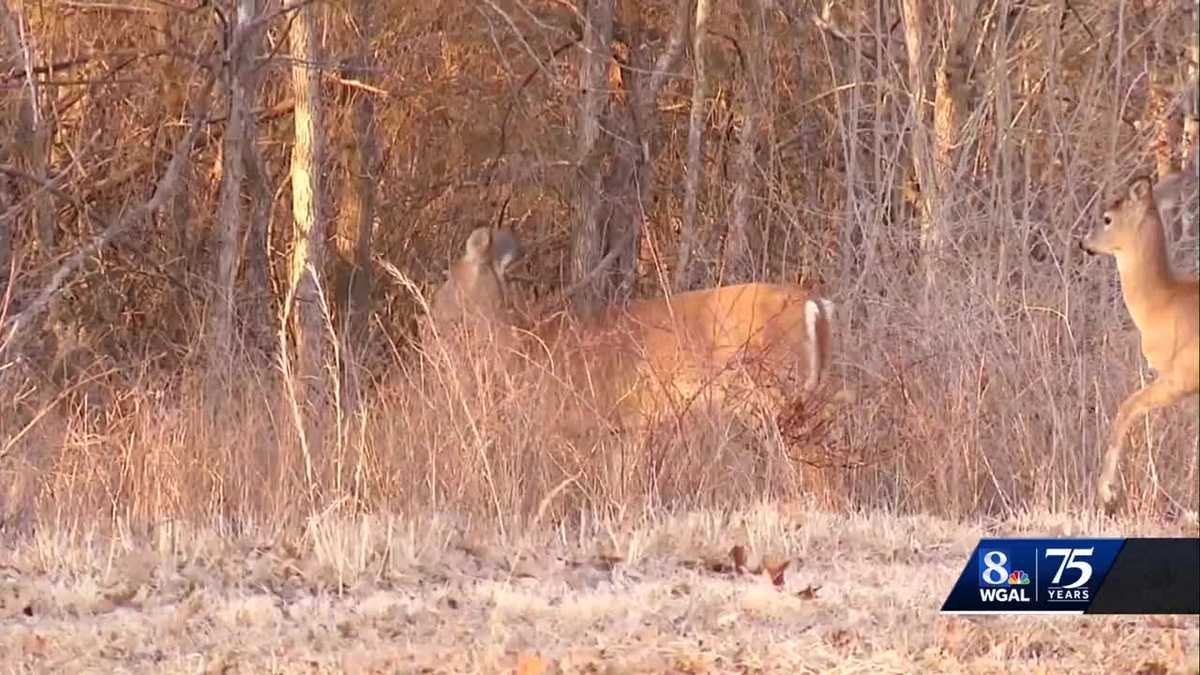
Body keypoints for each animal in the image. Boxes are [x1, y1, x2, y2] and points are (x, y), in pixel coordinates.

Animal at [424, 226, 842, 446]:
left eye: (449, 278)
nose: (428, 318)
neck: (522, 346)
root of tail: (814, 303)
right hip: (812, 394)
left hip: (769, 390)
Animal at [1081, 170, 1200, 514]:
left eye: (1107, 217)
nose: (1084, 242)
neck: (1162, 303)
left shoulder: (1181, 377)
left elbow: (1125, 408)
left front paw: (1107, 492)